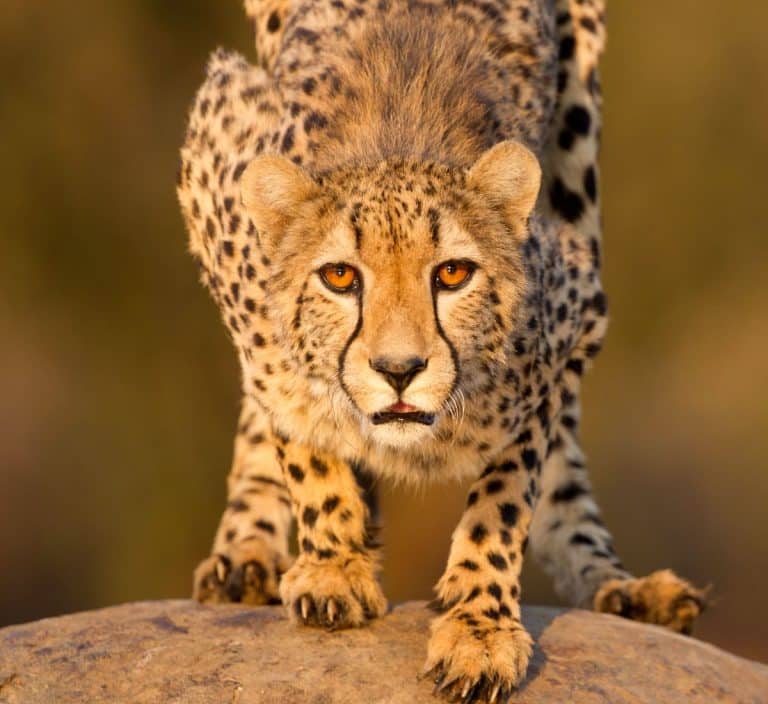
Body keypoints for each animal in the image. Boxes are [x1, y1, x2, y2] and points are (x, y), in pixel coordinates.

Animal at [176, 0, 707, 700]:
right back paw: (247, 554)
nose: (399, 370)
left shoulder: (570, 326)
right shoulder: (221, 185)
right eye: (340, 277)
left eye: (452, 274)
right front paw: (335, 564)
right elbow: (294, 422)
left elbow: (506, 496)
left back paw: (618, 584)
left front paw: (478, 629)